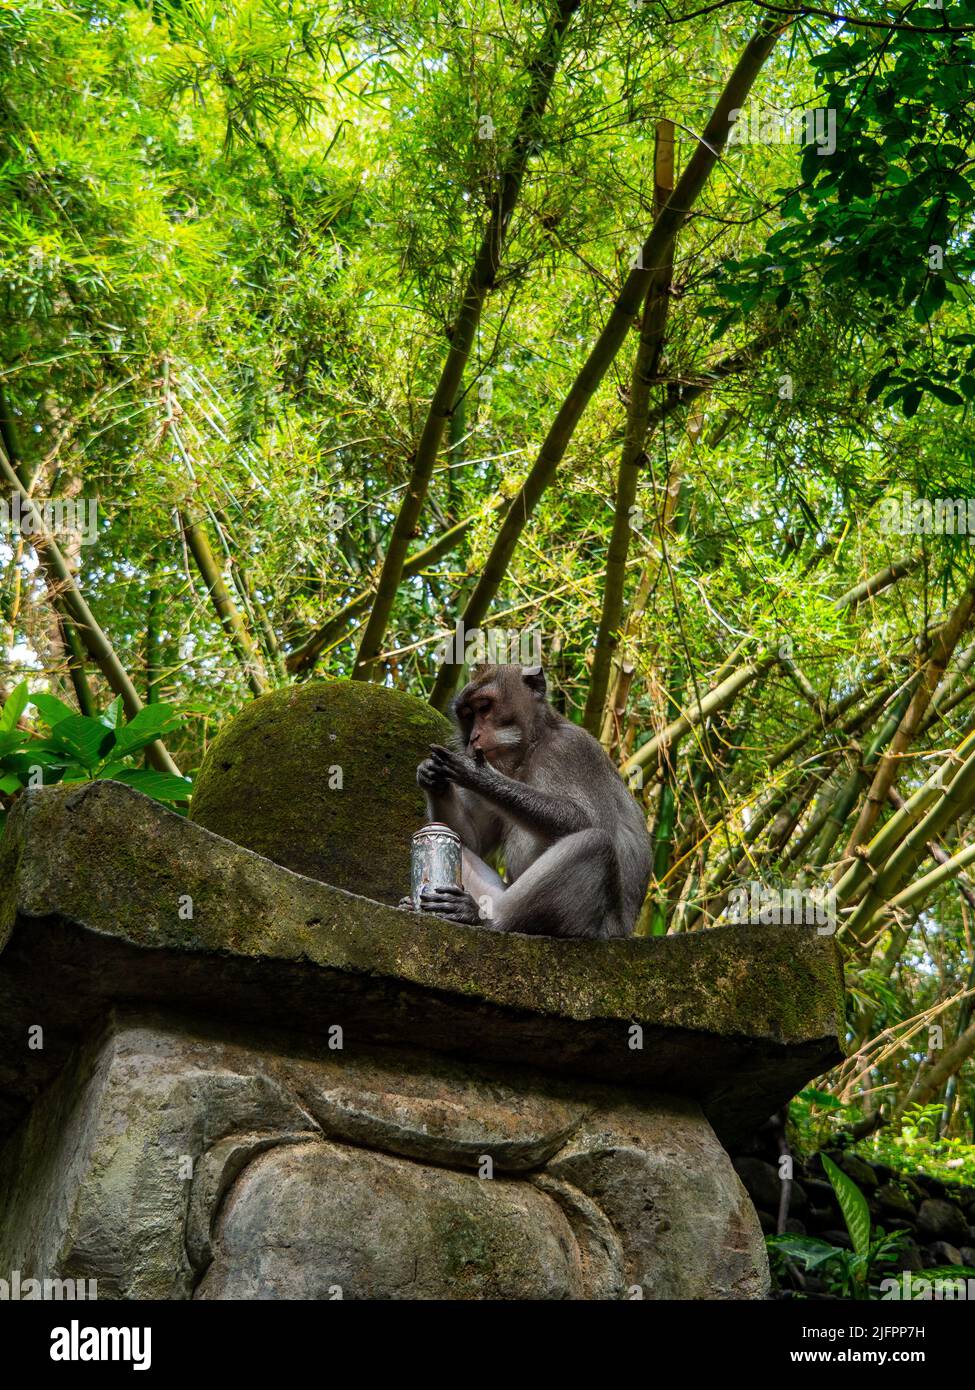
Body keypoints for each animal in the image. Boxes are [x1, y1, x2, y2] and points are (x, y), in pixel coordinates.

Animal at [407, 663, 652, 939]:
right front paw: (430, 775)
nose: (473, 738)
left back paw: (486, 919)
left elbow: (590, 821)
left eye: (484, 707)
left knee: (594, 842)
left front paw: (478, 775)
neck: (532, 747)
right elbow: (471, 840)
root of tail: (625, 930)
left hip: (598, 925)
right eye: (468, 715)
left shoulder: (573, 750)